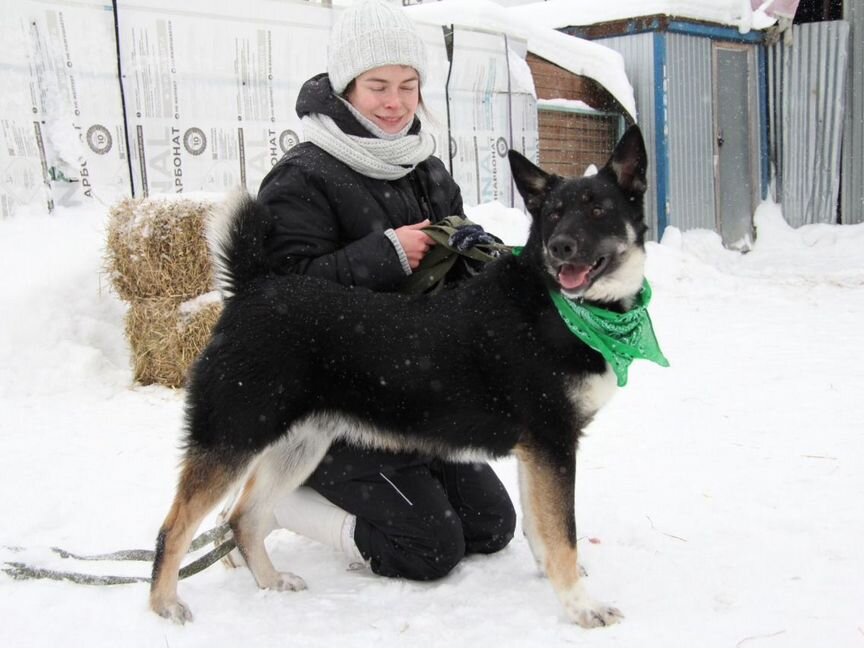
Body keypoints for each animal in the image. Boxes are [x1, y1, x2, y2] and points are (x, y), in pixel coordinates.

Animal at [150, 125, 648, 628]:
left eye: (599, 209)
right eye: (554, 214)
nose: (560, 247)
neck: (559, 307)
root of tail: (255, 286)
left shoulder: (537, 452)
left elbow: (540, 530)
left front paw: (556, 584)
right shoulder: (552, 443)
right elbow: (562, 535)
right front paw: (582, 607)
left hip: (300, 446)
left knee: (245, 516)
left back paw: (269, 580)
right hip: (234, 437)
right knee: (175, 526)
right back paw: (164, 603)